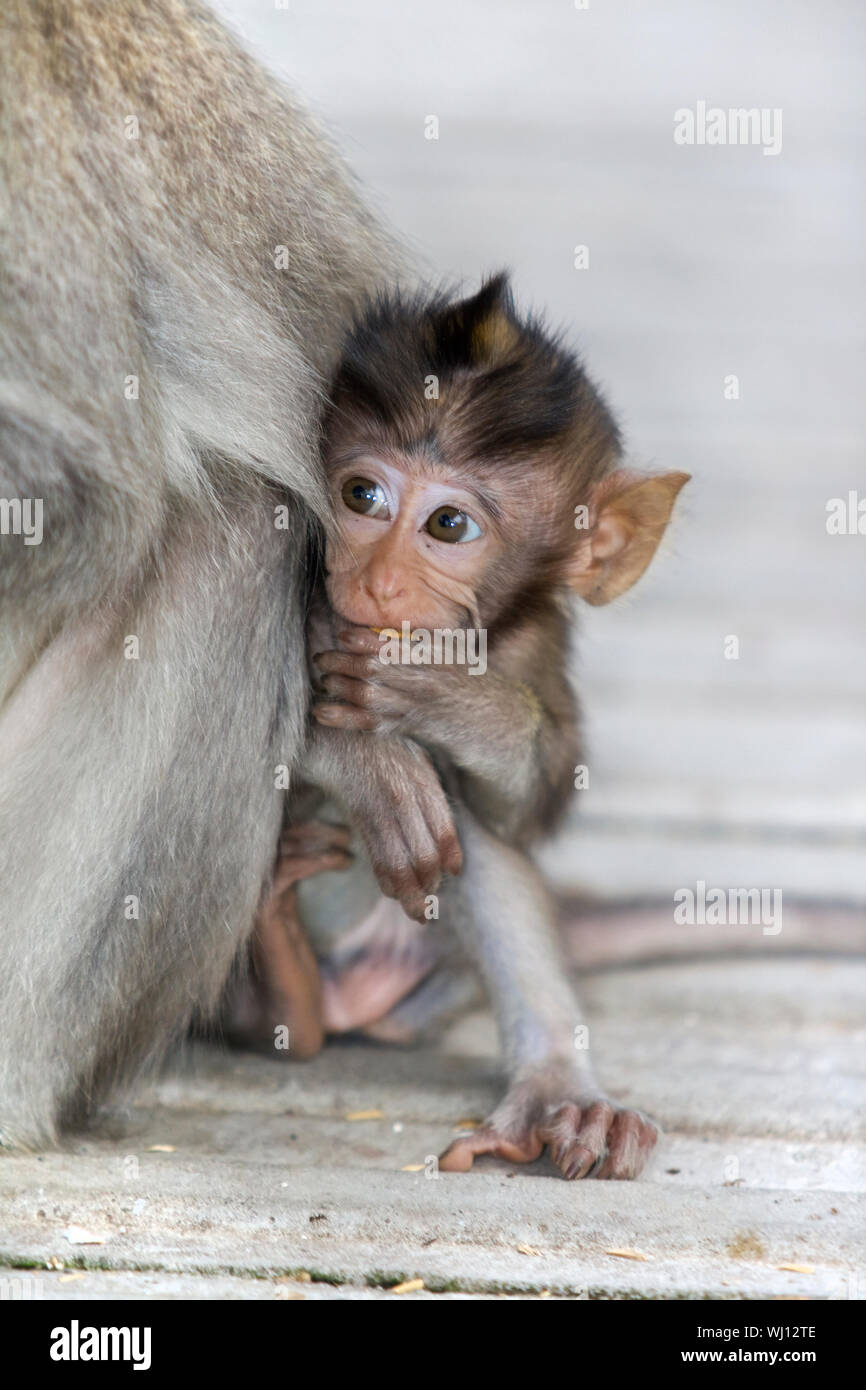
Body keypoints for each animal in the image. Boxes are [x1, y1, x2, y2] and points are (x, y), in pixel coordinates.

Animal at [229, 274, 690, 1179]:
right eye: (362, 496)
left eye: (448, 526)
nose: (376, 582)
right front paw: (368, 759)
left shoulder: (533, 642)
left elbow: (530, 806)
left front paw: (442, 696)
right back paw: (280, 978)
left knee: (471, 826)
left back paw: (555, 1090)